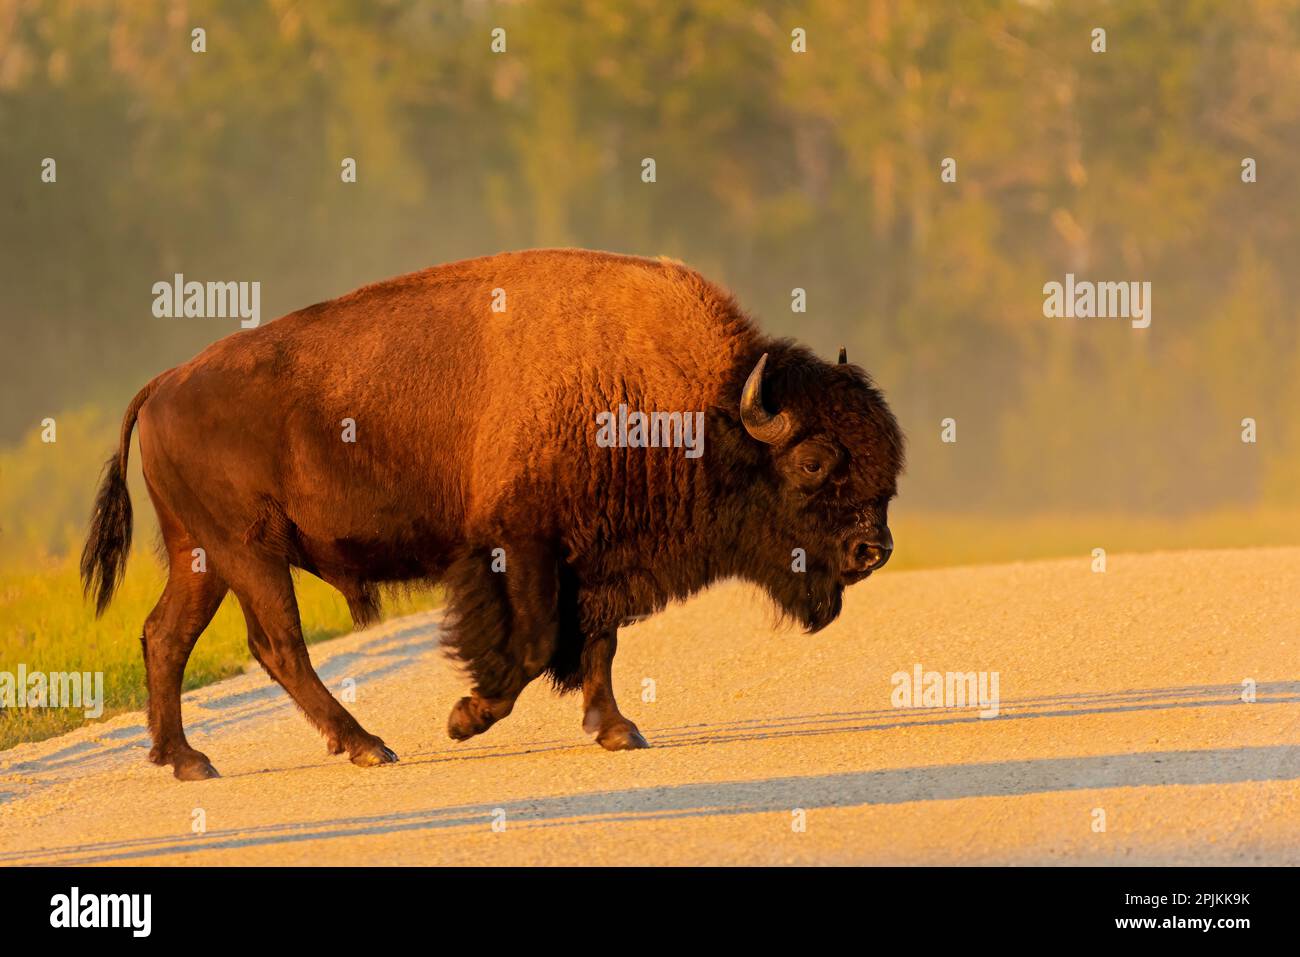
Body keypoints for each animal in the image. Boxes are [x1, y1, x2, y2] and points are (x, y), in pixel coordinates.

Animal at [81, 249, 904, 780]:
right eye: (813, 461)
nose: (874, 551)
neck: (694, 409)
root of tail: (163, 383)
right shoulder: (523, 546)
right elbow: (536, 642)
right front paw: (467, 714)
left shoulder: (590, 555)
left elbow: (599, 644)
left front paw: (617, 730)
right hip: (247, 551)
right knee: (276, 643)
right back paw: (365, 745)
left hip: (202, 556)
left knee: (167, 636)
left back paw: (187, 760)